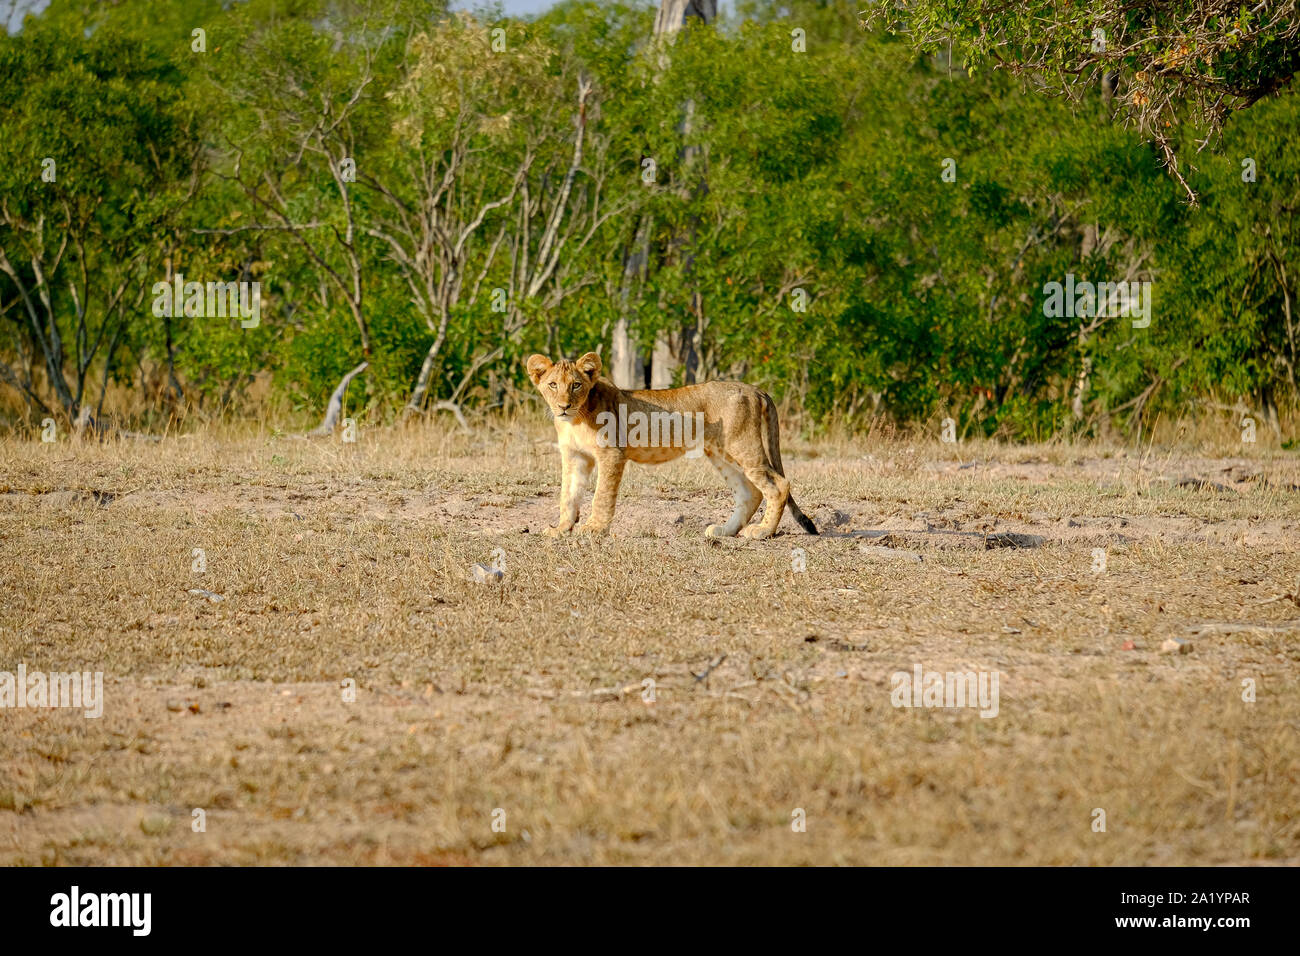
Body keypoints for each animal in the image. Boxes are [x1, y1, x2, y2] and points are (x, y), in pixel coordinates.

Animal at [526, 351, 818, 539]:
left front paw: (593, 529)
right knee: (751, 493)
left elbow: (601, 496)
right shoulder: (575, 457)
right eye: (552, 385)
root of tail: (754, 389)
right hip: (721, 453)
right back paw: (724, 531)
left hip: (743, 446)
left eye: (576, 385)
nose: (564, 406)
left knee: (778, 485)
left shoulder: (612, 454)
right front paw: (560, 529)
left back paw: (762, 532)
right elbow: (568, 495)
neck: (575, 420)